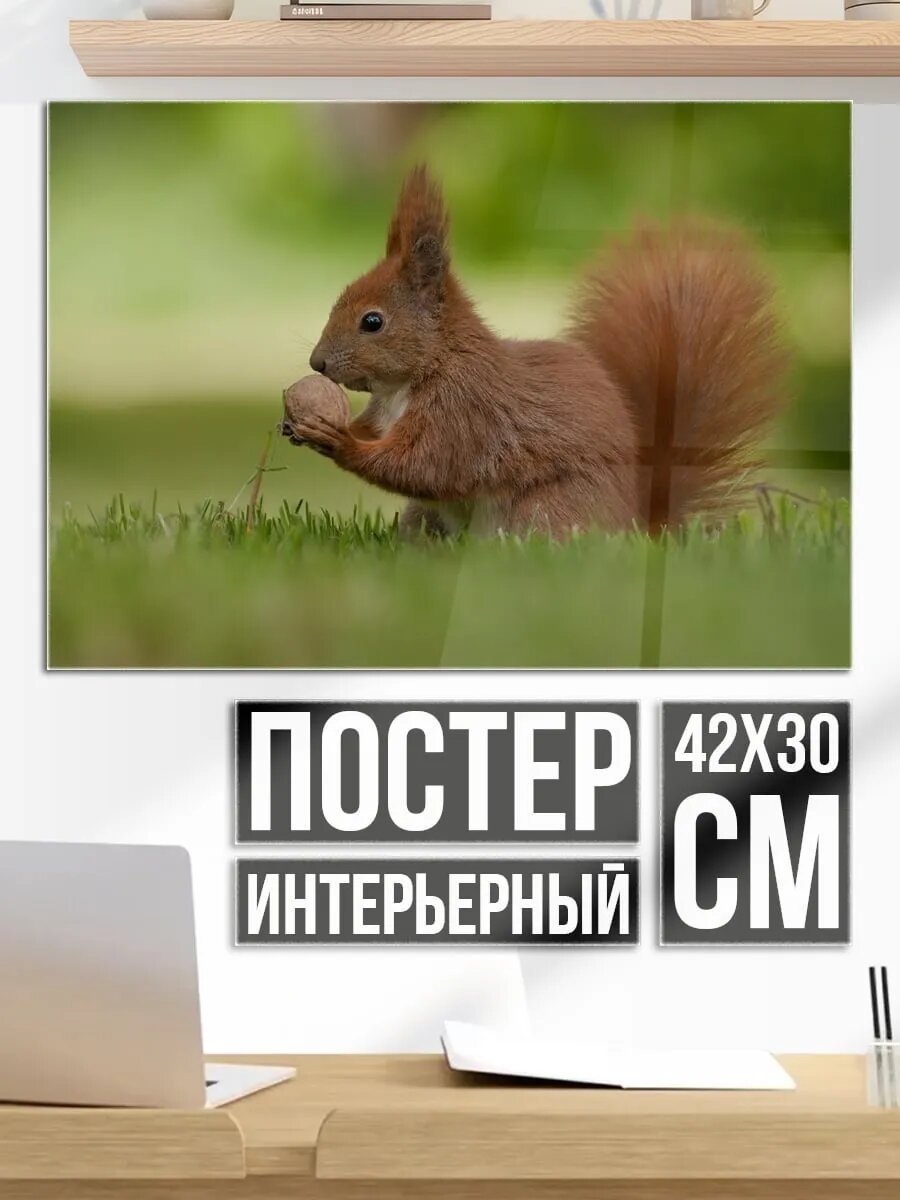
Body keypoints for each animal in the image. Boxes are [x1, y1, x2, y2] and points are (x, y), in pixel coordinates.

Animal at [291, 165, 788, 539]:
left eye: (372, 322)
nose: (318, 363)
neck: (418, 374)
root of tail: (635, 525)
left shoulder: (465, 412)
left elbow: (424, 466)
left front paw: (338, 441)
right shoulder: (387, 412)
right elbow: (378, 436)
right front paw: (306, 425)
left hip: (546, 510)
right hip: (425, 517)